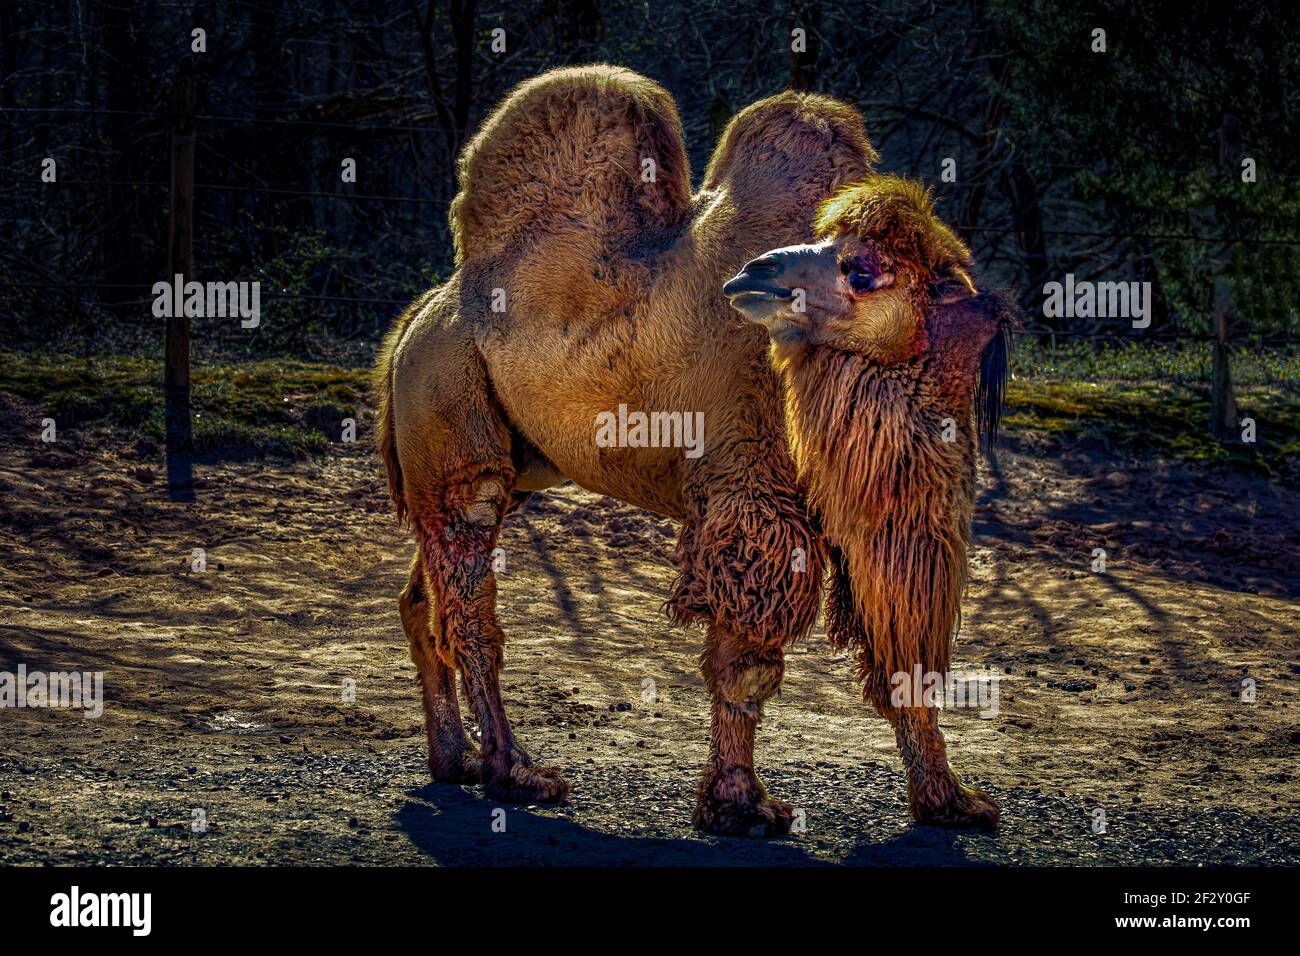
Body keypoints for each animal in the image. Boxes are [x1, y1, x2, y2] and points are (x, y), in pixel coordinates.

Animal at [374, 64, 1009, 836]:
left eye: (862, 269)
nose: (754, 275)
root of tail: (417, 321)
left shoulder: (877, 529)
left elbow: (900, 653)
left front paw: (951, 802)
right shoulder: (756, 499)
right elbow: (747, 660)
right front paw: (741, 805)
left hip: (505, 461)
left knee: (424, 595)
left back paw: (454, 761)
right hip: (454, 418)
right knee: (470, 605)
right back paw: (516, 772)